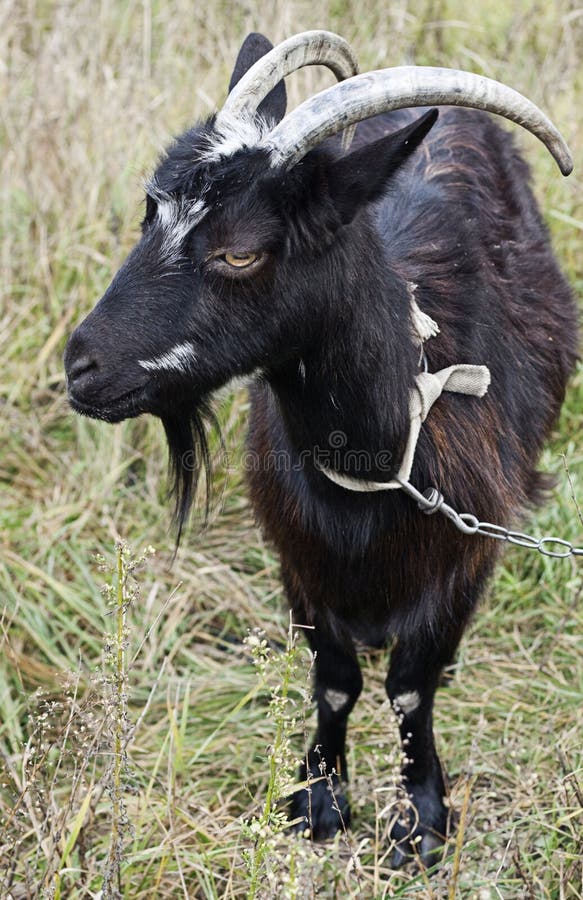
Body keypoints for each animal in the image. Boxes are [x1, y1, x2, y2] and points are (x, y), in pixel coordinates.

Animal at [64, 31, 579, 865]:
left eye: (240, 252)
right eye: (149, 213)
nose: (80, 369)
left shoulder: (466, 551)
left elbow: (409, 686)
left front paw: (420, 820)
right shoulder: (296, 551)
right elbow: (334, 679)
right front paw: (318, 798)